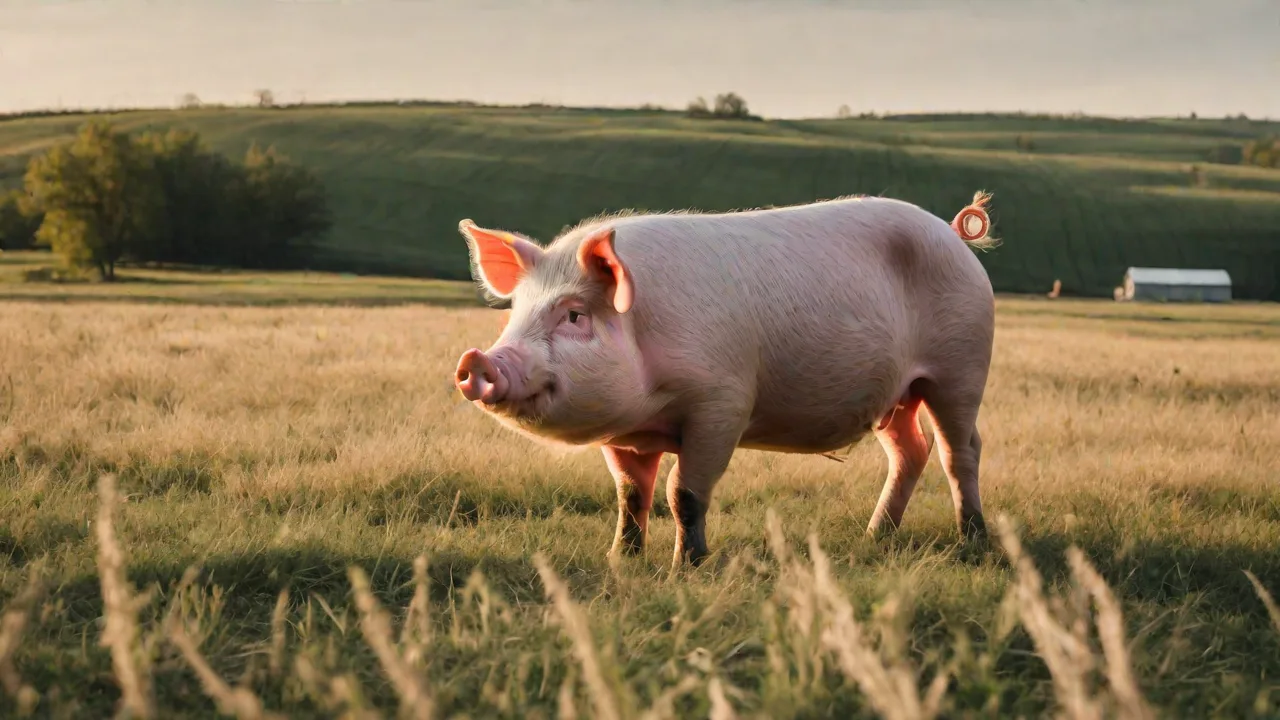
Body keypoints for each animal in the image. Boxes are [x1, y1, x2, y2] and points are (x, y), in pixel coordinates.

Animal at [453, 191, 998, 567]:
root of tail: (953, 235)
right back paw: (875, 536)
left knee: (961, 450)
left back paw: (973, 539)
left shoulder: (722, 403)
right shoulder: (624, 434)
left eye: (573, 315)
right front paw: (620, 560)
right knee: (911, 450)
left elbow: (683, 493)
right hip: (895, 394)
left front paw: (687, 568)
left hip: (962, 366)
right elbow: (630, 494)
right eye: (516, 312)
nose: (480, 361)